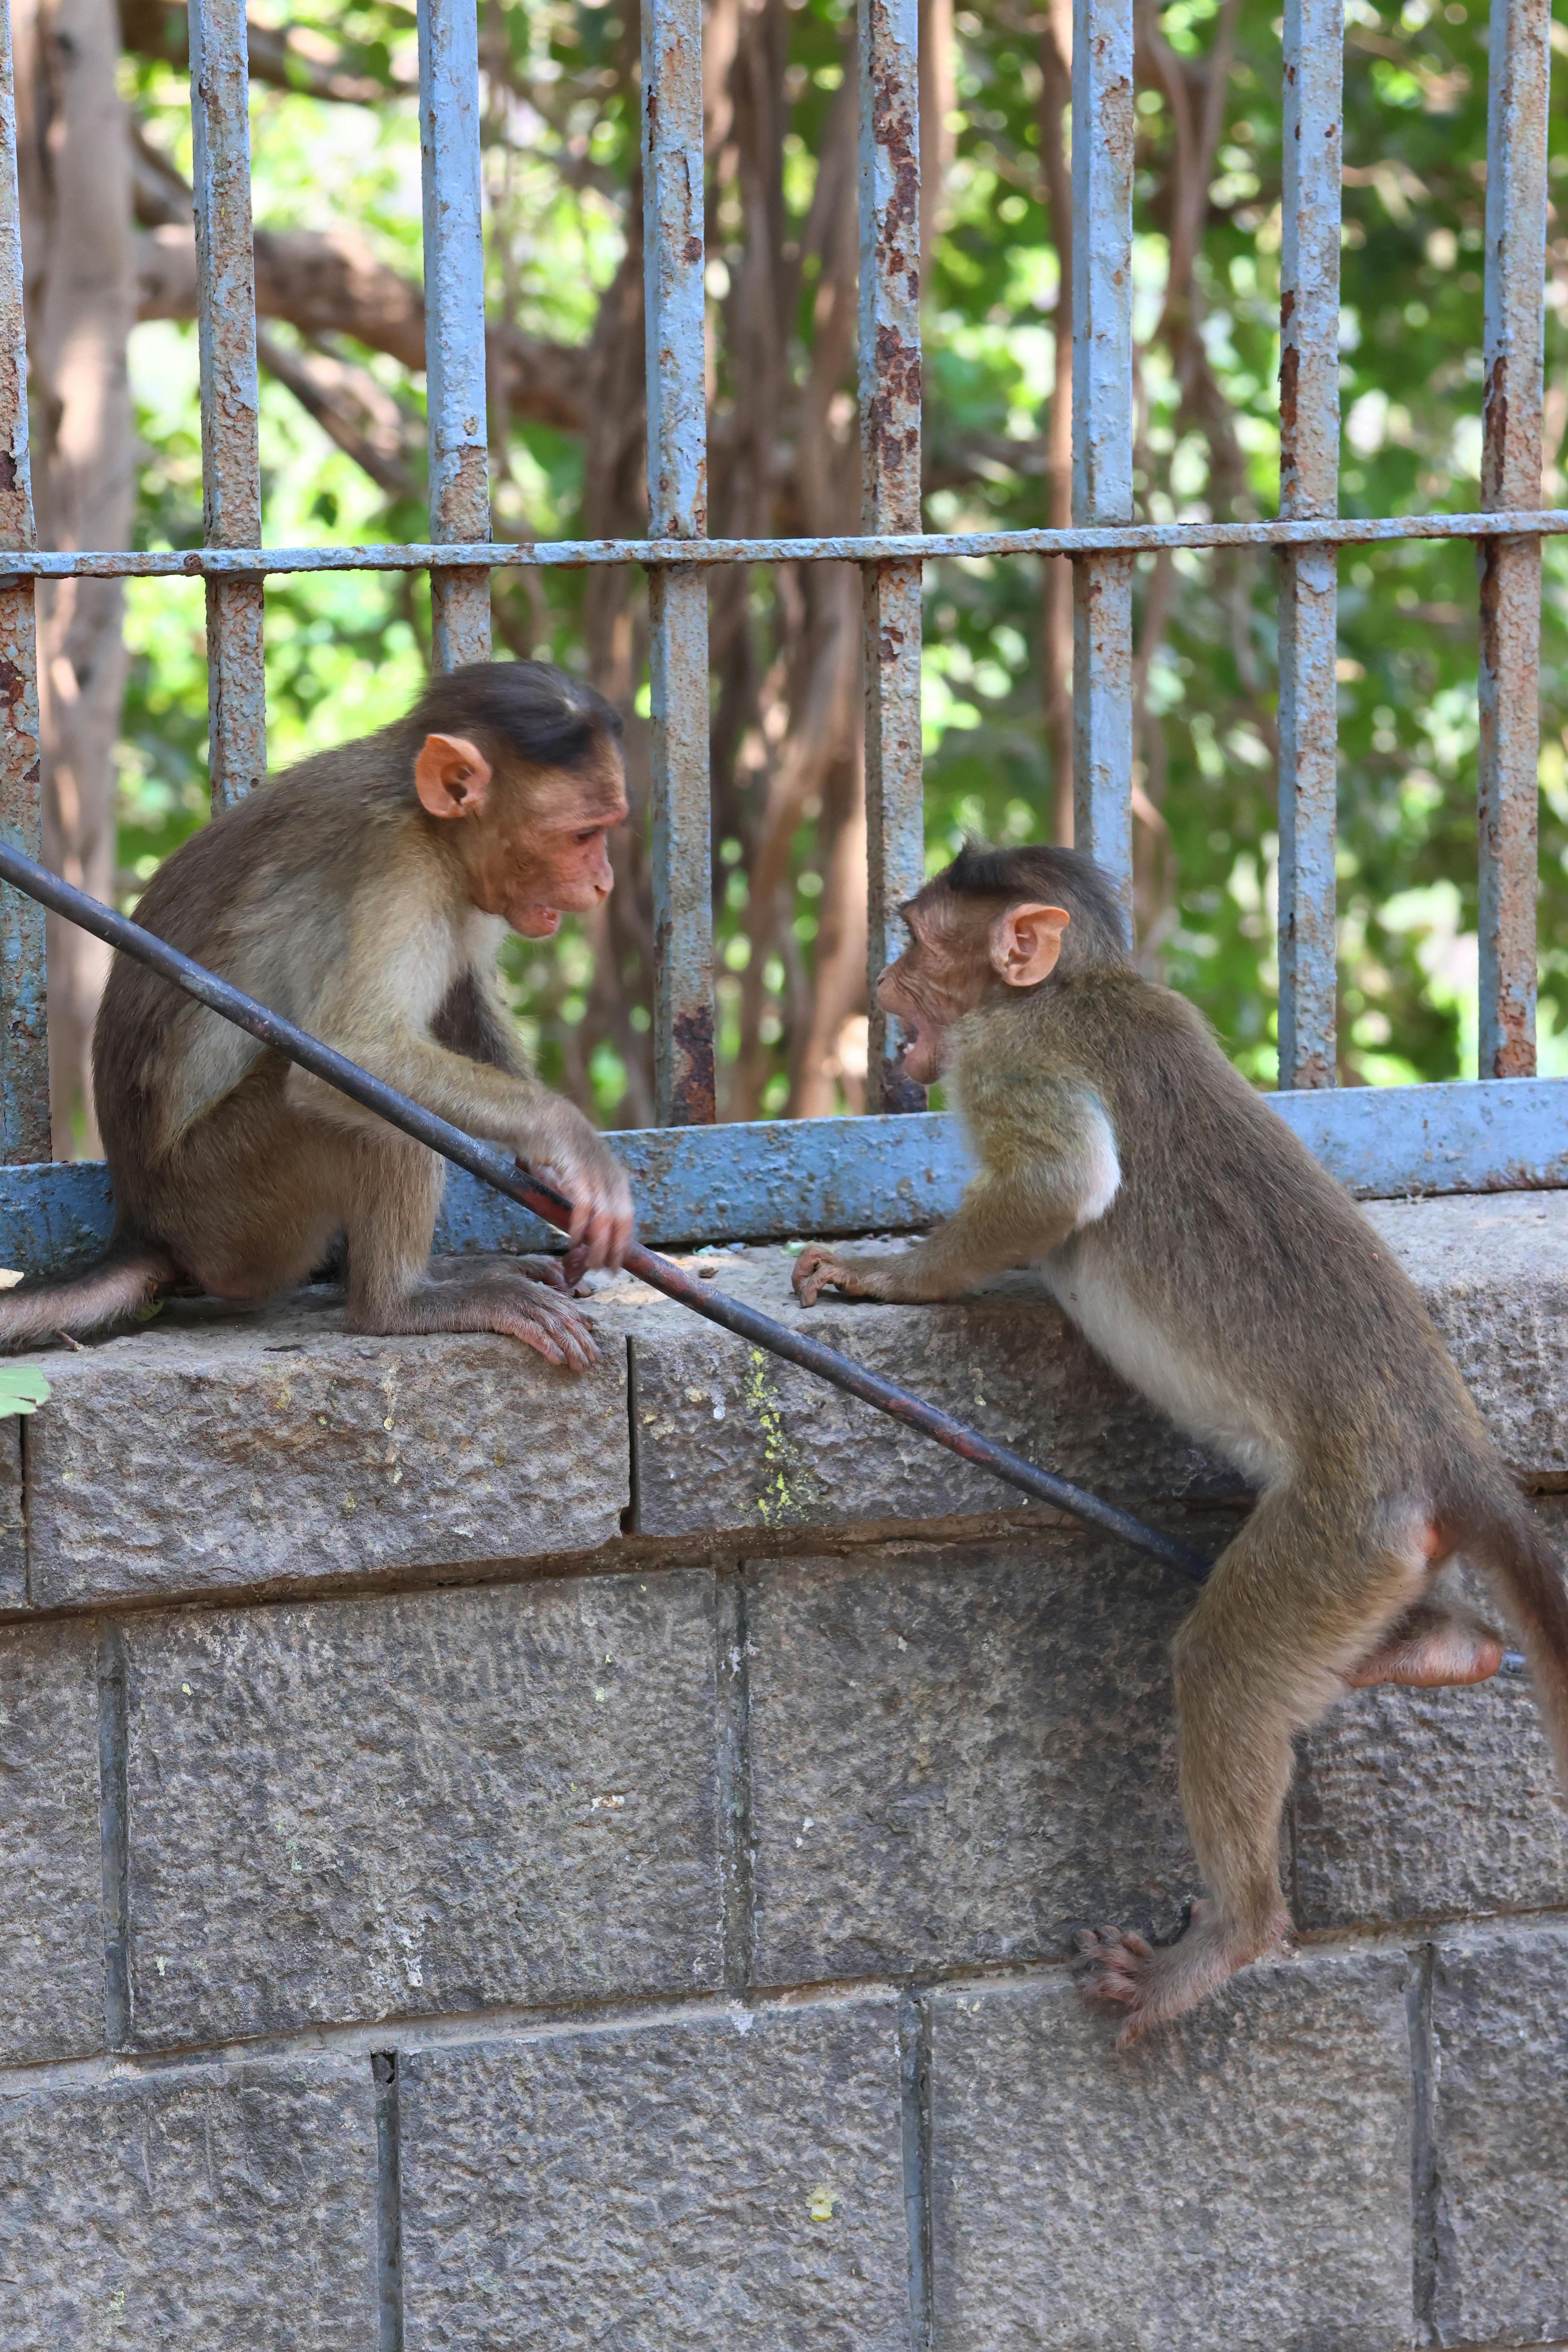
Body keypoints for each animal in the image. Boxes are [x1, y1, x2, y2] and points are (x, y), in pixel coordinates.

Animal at [0, 660, 636, 1371]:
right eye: (583, 835)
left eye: (604, 829)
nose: (605, 881)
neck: (433, 829)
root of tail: (145, 1227)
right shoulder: (399, 868)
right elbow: (355, 1050)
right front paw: (568, 1138)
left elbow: (463, 999)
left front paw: (549, 1170)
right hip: (227, 1206)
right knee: (362, 1101)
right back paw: (400, 1304)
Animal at [791, 840, 1568, 2042]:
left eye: (916, 942)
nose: (880, 982)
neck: (1079, 985)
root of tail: (1450, 1451)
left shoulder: (1011, 1055)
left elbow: (1059, 1186)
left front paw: (882, 1276)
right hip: (1380, 1556)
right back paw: (1449, 1648)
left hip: (1341, 1537)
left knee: (1225, 1671)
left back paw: (1224, 1940)